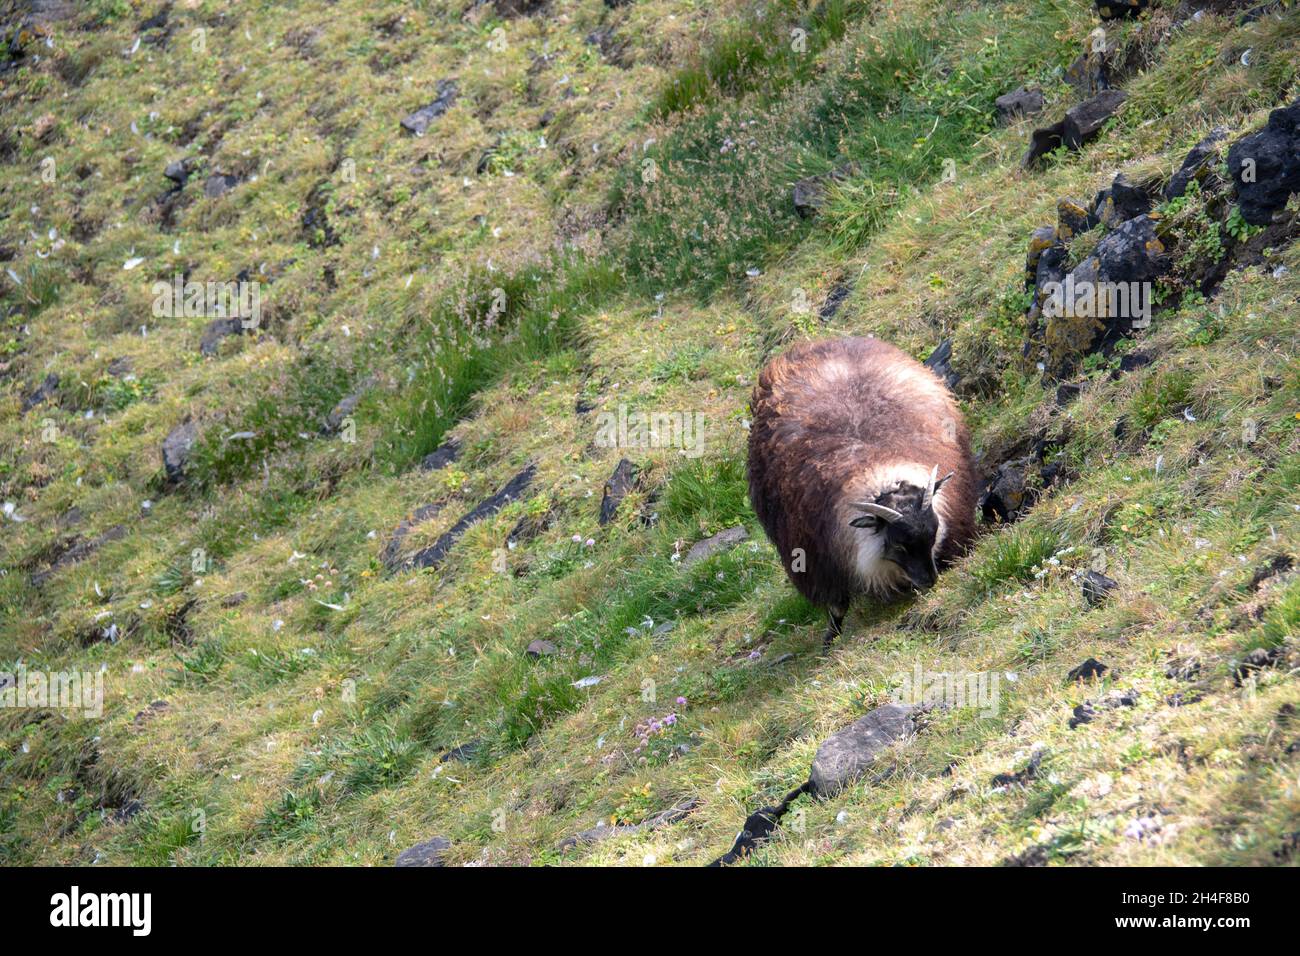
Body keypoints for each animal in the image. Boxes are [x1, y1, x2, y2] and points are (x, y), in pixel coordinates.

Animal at [747, 335, 976, 645]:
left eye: (933, 533)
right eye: (899, 544)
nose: (929, 581)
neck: (876, 463)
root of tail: (819, 342)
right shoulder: (815, 555)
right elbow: (836, 604)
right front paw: (831, 638)